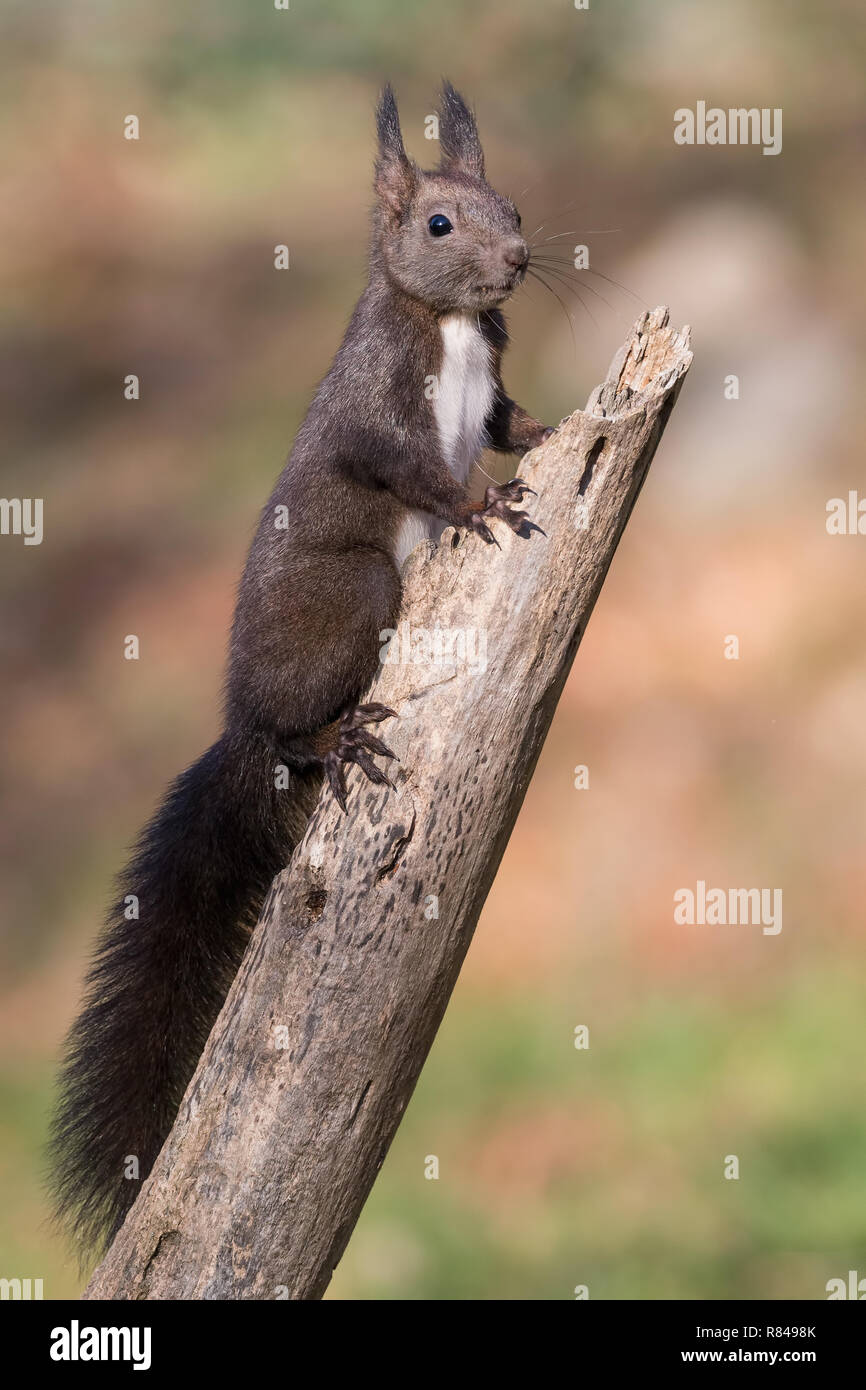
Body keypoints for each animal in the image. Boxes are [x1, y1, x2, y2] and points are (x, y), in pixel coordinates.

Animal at [49, 81, 553, 1255]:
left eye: (509, 204)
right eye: (437, 225)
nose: (518, 259)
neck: (446, 325)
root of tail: (238, 730)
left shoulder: (488, 382)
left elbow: (507, 419)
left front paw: (555, 432)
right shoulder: (376, 411)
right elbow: (408, 465)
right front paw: (477, 505)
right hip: (353, 598)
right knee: (299, 722)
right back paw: (331, 735)